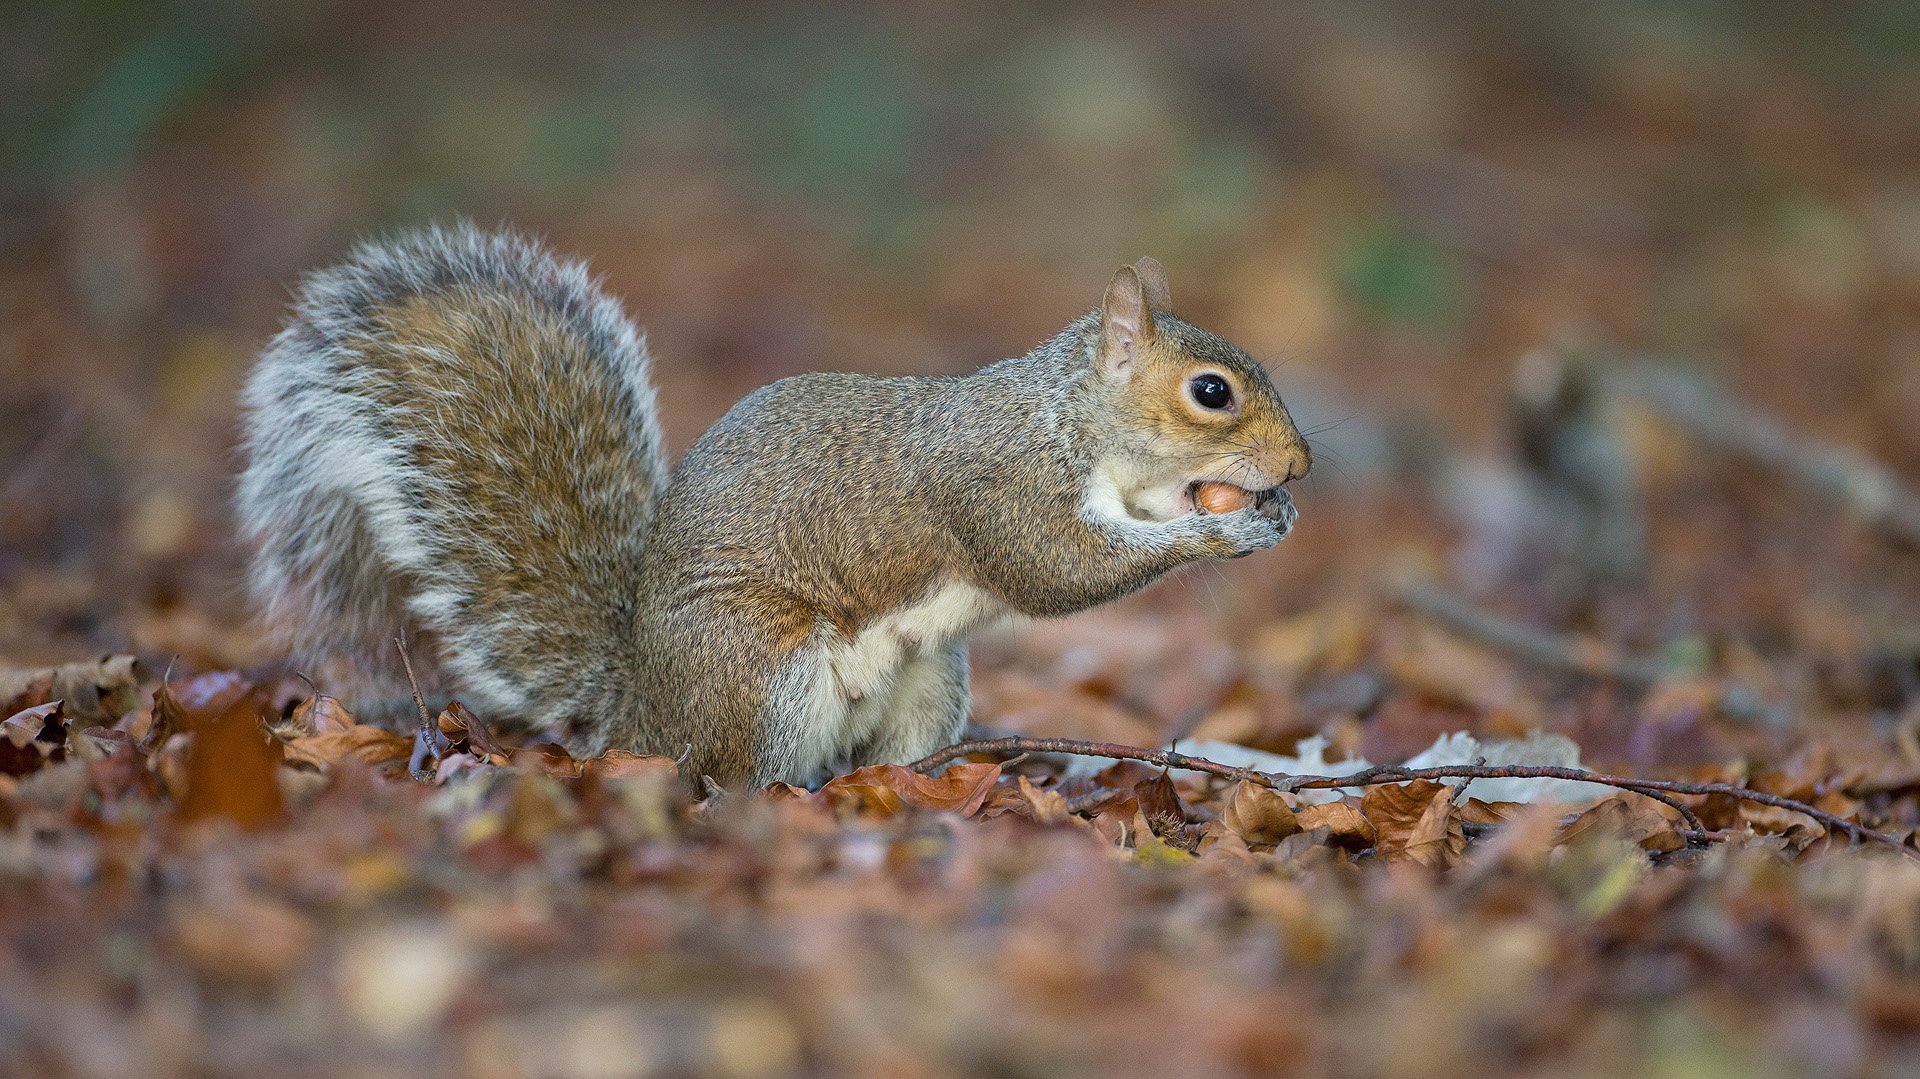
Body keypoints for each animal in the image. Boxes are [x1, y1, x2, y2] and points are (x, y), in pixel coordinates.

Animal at [236, 224, 1310, 787]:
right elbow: (1056, 570)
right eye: (1211, 391)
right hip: (761, 667)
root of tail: (640, 716)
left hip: (930, 678)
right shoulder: (999, 482)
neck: (1066, 416)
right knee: (734, 775)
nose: (1299, 464)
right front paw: (1224, 528)